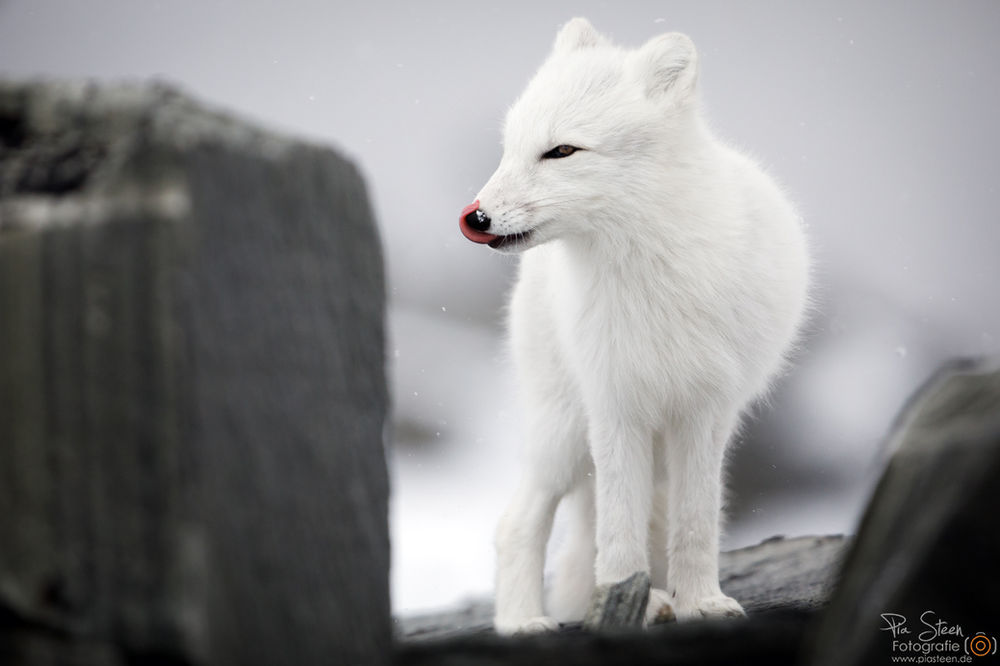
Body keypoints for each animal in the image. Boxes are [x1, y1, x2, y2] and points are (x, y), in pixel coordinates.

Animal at [458, 18, 810, 634]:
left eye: (561, 151)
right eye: (510, 149)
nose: (476, 217)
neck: (648, 272)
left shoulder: (704, 411)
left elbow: (696, 522)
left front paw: (703, 603)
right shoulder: (614, 404)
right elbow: (618, 527)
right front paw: (624, 597)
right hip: (564, 431)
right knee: (516, 523)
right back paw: (525, 621)